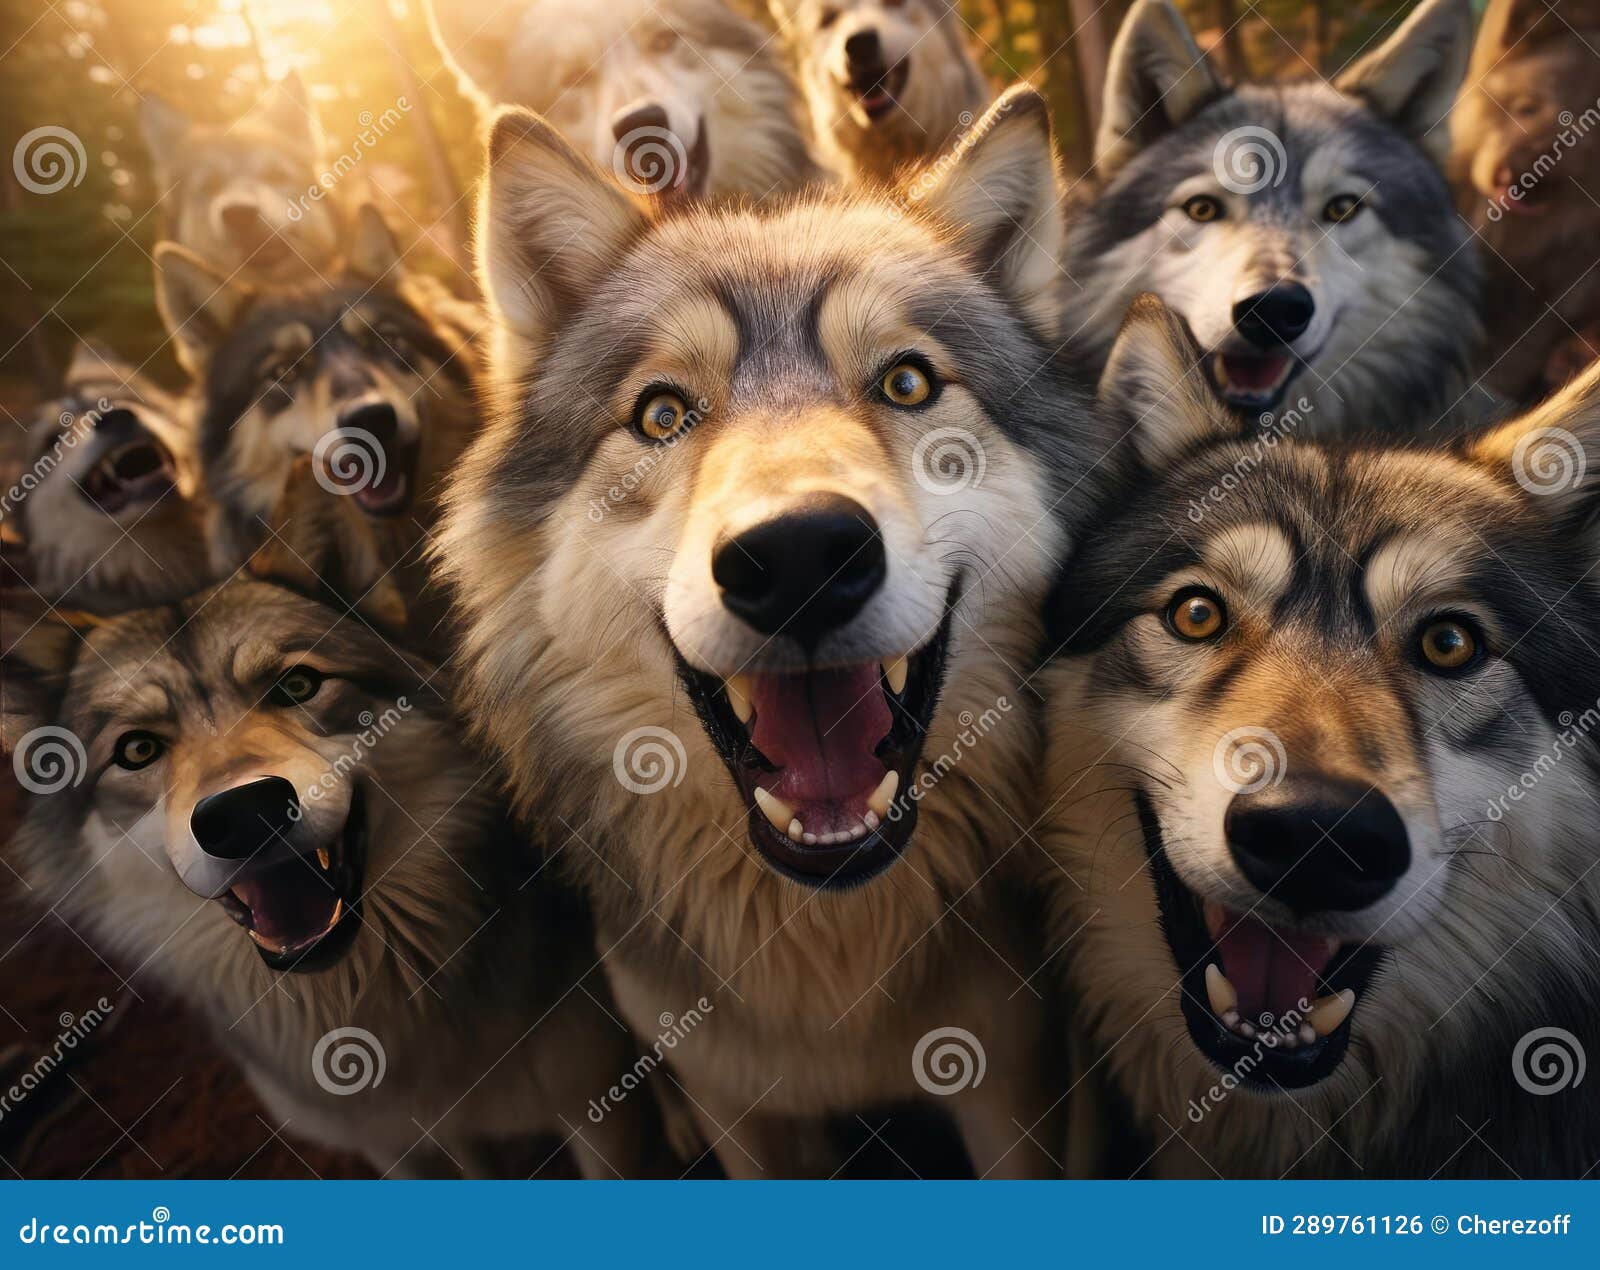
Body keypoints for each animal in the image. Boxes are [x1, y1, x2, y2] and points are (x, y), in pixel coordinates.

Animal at [434, 88, 1105, 1177]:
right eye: (661, 413)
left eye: (908, 384)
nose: (798, 557)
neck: (828, 959)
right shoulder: (732, 1104)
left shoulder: (1012, 1080)